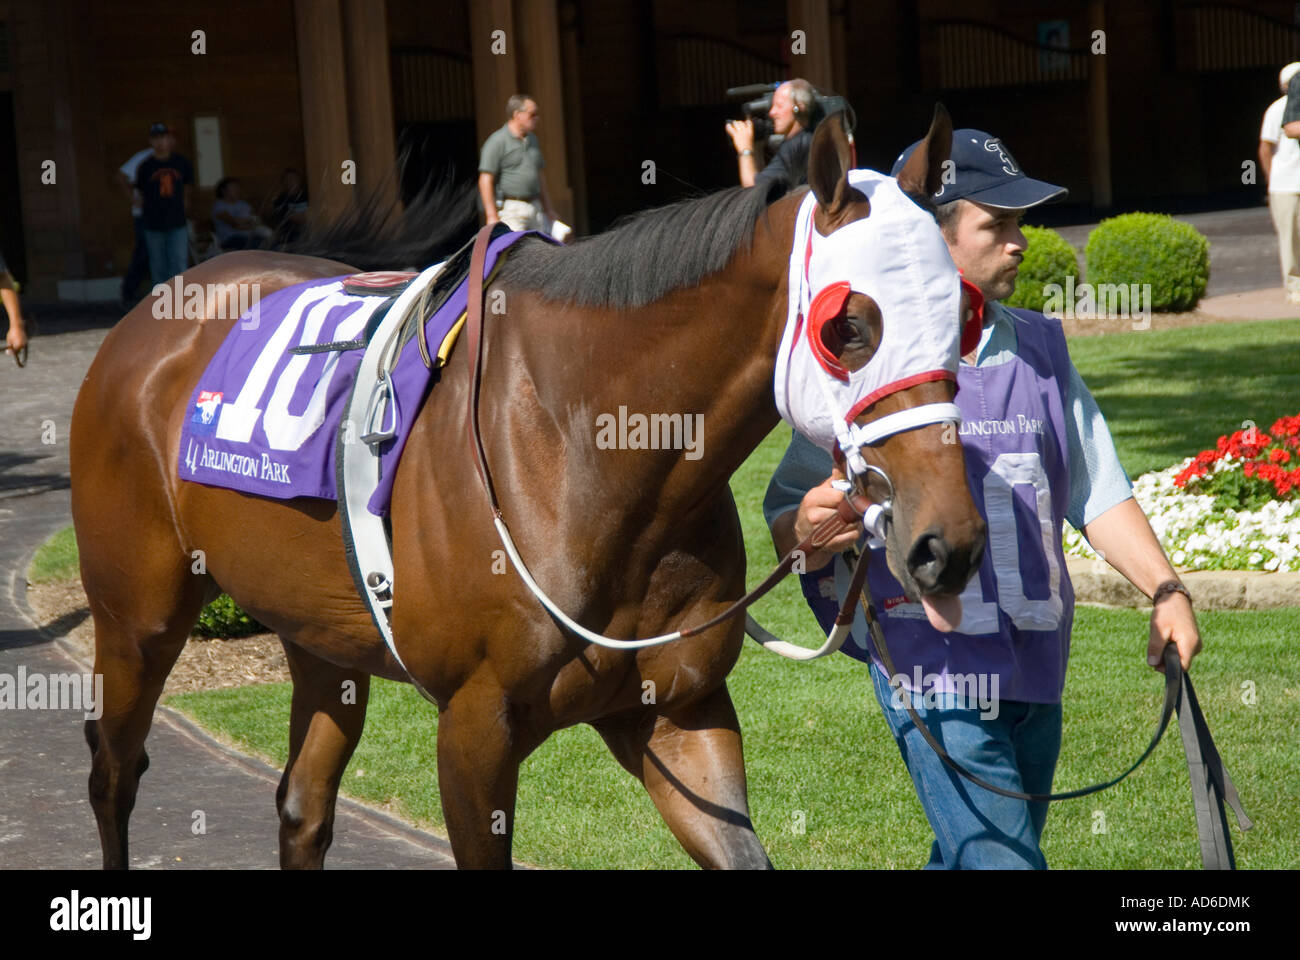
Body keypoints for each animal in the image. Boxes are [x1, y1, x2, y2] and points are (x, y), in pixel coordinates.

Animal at [70, 109, 985, 869]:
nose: (948, 545)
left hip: (319, 635)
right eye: (847, 327)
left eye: (962, 316)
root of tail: (151, 315)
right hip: (136, 617)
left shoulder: (680, 711)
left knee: (303, 804)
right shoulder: (474, 730)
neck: (583, 455)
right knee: (114, 770)